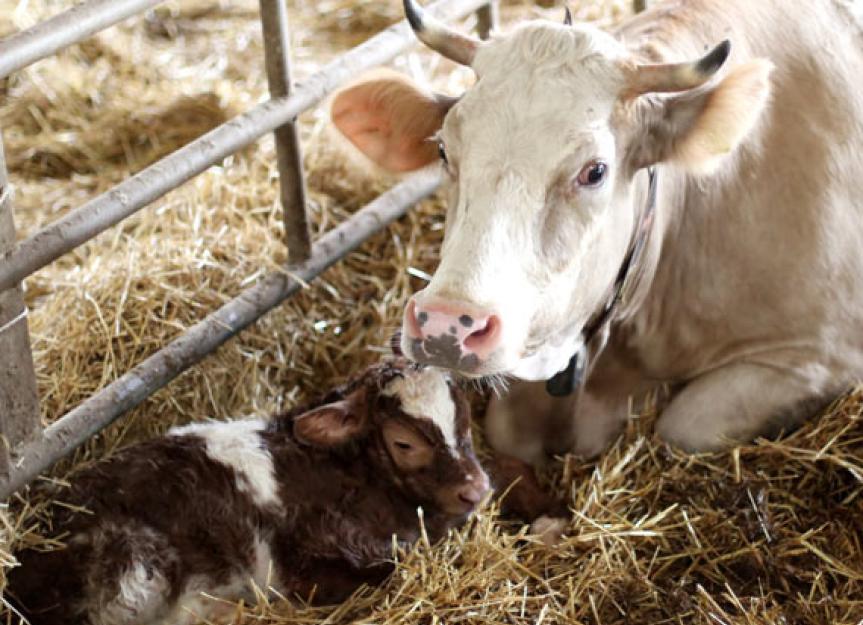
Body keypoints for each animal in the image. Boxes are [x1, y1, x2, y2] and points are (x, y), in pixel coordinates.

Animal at [331, 0, 863, 462]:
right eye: (443, 149)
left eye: (595, 171)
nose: (446, 324)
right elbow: (507, 432)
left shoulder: (820, 356)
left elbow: (685, 425)